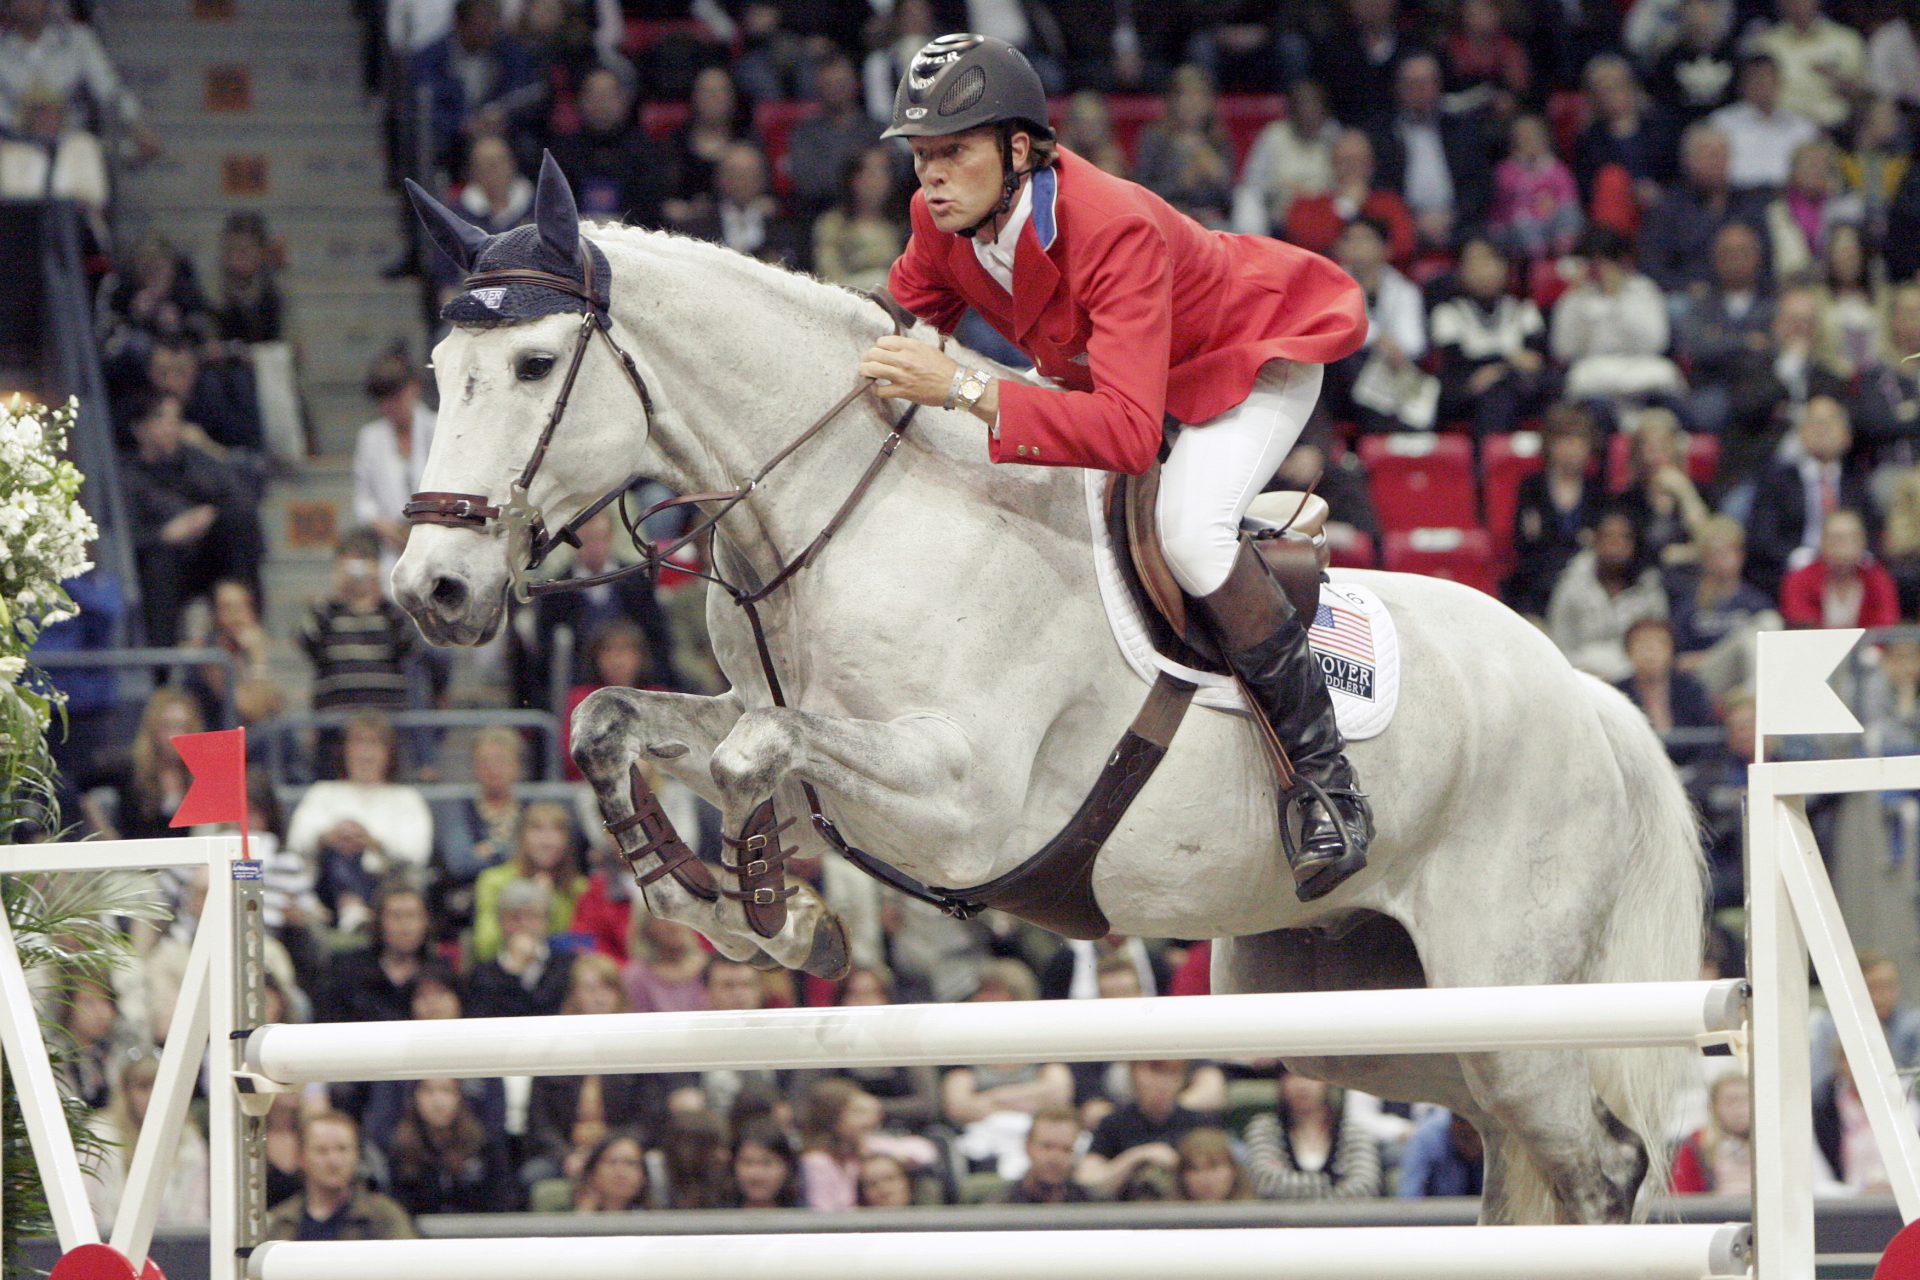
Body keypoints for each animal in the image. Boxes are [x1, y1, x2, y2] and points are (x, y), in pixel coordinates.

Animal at [391, 162, 1704, 1227]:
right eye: (438, 370)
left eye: (535, 363)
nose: (431, 588)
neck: (842, 506)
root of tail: (1590, 699)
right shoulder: (793, 731)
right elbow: (615, 722)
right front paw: (729, 906)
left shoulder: (962, 802)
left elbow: (752, 750)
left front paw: (776, 913)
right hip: (1356, 1005)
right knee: (1505, 1131)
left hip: (1504, 979)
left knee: (1602, 1163)